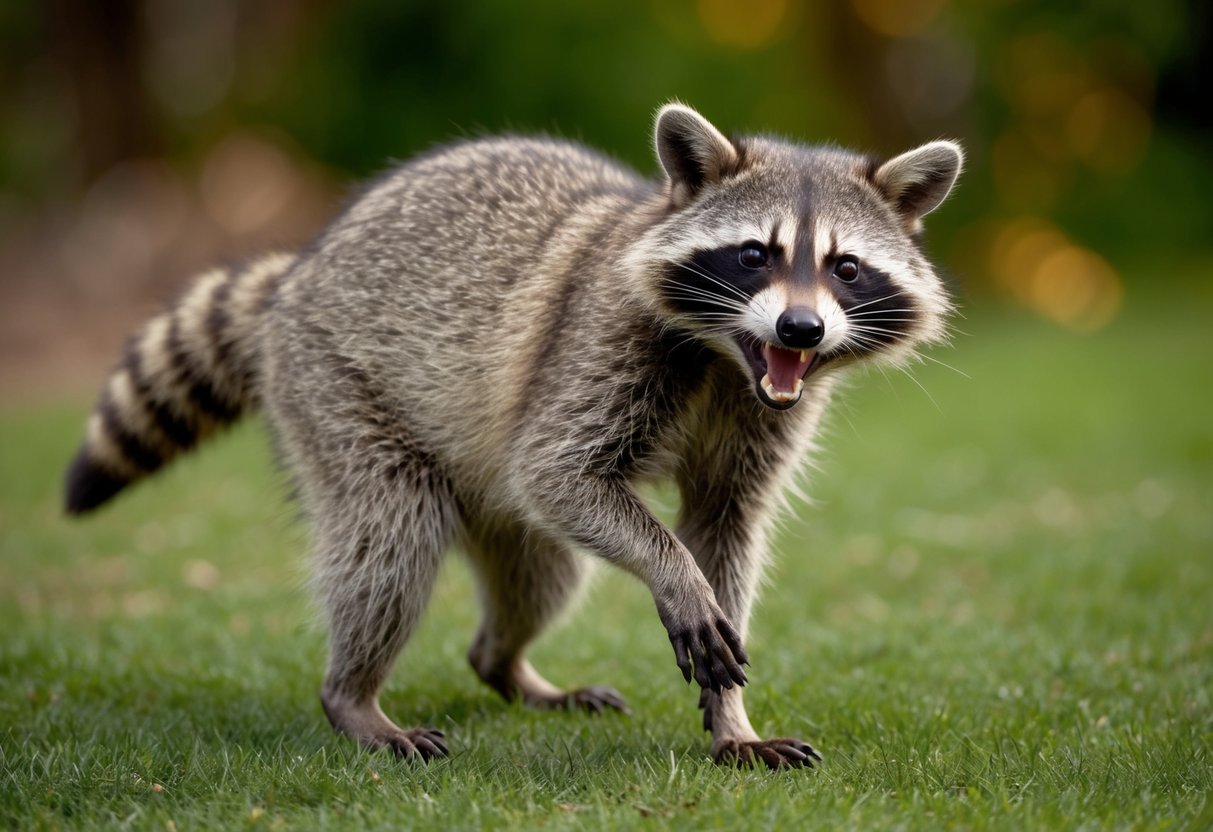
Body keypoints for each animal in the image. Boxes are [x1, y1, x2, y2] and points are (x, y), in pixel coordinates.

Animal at [65, 104, 961, 769]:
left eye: (845, 267)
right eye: (753, 255)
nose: (800, 330)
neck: (724, 354)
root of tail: (297, 274)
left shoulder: (767, 415)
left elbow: (723, 530)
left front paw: (729, 718)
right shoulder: (596, 342)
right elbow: (559, 474)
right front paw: (676, 579)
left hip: (482, 495)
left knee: (543, 571)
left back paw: (506, 665)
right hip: (333, 387)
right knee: (390, 540)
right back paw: (354, 696)